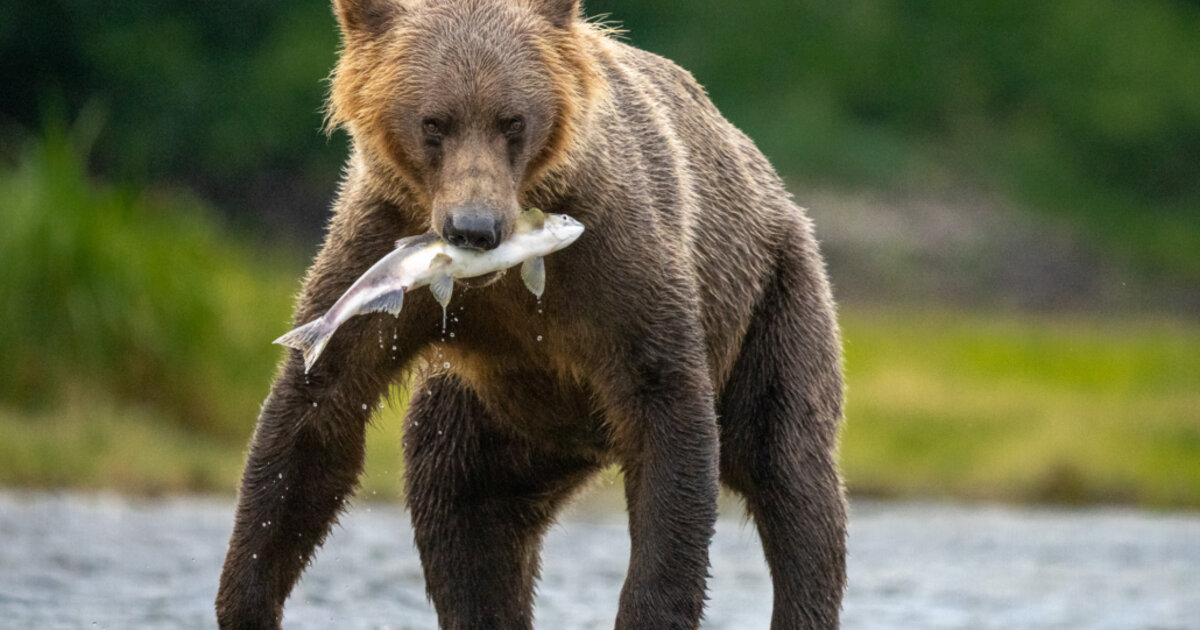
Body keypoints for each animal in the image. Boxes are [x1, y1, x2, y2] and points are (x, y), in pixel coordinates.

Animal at [216, 0, 847, 628]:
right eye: (433, 123)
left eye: (512, 121)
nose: (474, 228)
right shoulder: (372, 246)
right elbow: (316, 414)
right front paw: (247, 598)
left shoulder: (621, 262)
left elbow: (668, 416)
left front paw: (652, 606)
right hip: (496, 415)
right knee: (461, 501)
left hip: (776, 292)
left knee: (789, 469)